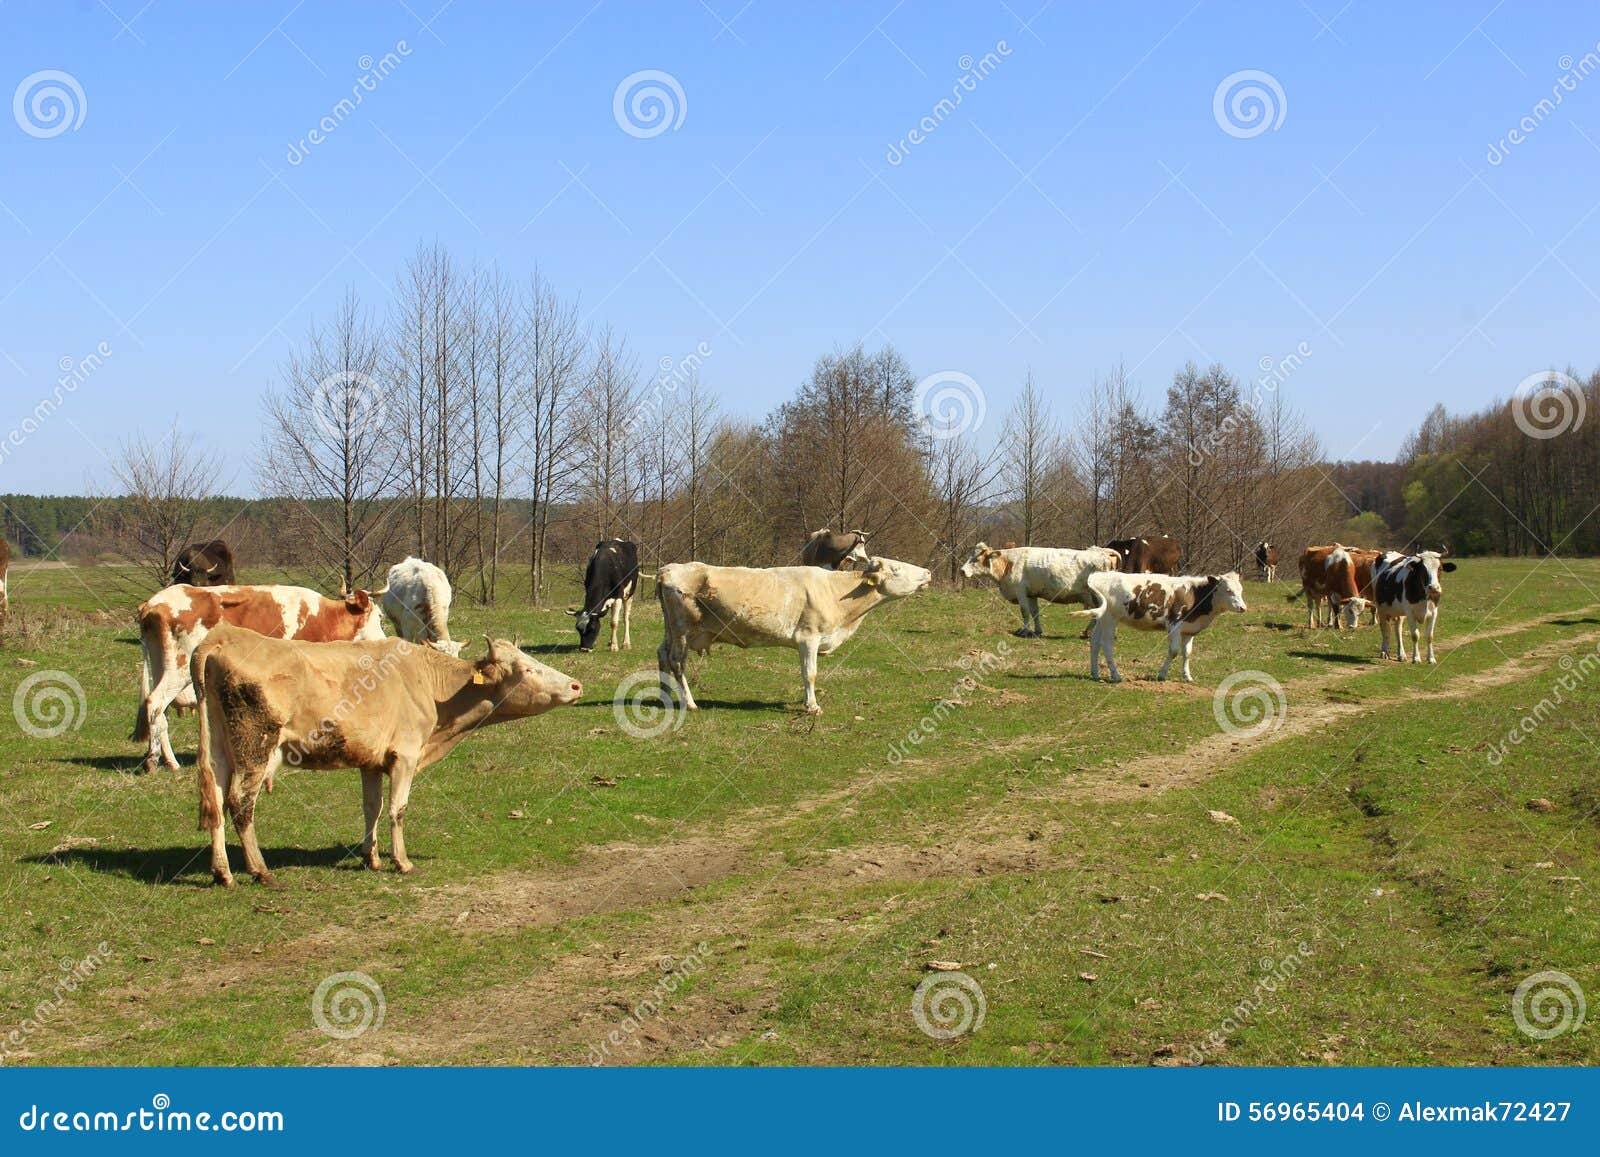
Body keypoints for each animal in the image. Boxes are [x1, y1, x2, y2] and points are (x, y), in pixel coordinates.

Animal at [134, 584, 385, 774]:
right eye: (379, 616)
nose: (384, 639)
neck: (320, 617)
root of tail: (154, 603)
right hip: (180, 668)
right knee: (155, 704)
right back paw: (155, 761)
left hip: (161, 664)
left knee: (161, 712)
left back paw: (168, 760)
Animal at [192, 626, 582, 886]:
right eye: (527, 669)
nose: (576, 685)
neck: (430, 684)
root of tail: (221, 638)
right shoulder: (404, 756)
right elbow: (397, 808)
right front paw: (402, 861)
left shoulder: (371, 760)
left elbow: (372, 807)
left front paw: (371, 857)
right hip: (254, 746)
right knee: (240, 802)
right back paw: (260, 871)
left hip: (220, 749)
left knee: (216, 800)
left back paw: (223, 872)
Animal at [656, 556, 931, 715]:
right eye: (896, 568)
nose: (928, 572)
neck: (836, 592)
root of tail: (670, 568)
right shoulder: (808, 637)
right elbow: (810, 673)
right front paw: (813, 707)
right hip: (682, 629)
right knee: (677, 662)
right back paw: (690, 703)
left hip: (670, 629)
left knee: (662, 655)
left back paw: (665, 695)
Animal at [959, 542, 1121, 638]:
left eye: (976, 559)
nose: (962, 571)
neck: (1008, 563)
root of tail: (1104, 551)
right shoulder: (1031, 593)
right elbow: (1035, 612)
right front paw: (1037, 631)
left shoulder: (1020, 590)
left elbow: (1024, 611)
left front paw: (1025, 631)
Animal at [1086, 571, 1249, 683]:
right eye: (1228, 590)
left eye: (1240, 590)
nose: (1243, 608)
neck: (1195, 595)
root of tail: (1099, 576)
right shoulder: (1174, 625)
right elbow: (1174, 651)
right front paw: (1162, 674)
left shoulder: (1189, 630)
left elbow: (1187, 653)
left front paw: (1187, 676)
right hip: (1110, 619)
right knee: (1107, 645)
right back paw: (1116, 676)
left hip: (1101, 618)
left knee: (1095, 642)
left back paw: (1095, 674)